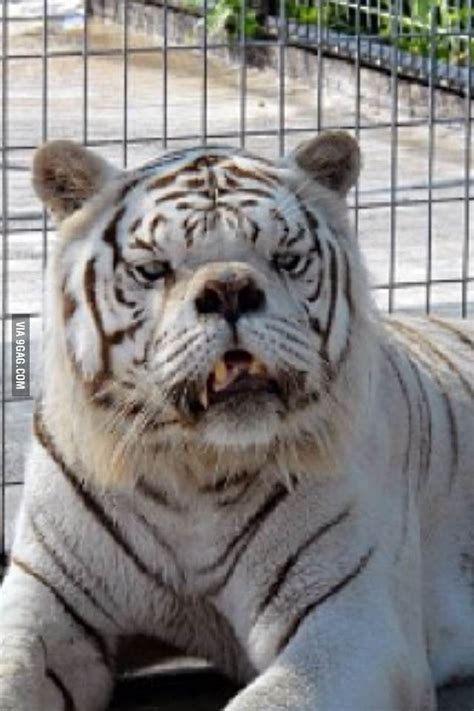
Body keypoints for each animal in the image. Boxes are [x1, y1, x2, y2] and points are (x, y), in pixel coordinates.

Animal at [0, 129, 473, 711]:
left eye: (286, 259)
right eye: (154, 269)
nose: (229, 289)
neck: (191, 472)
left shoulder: (352, 621)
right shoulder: (47, 600)